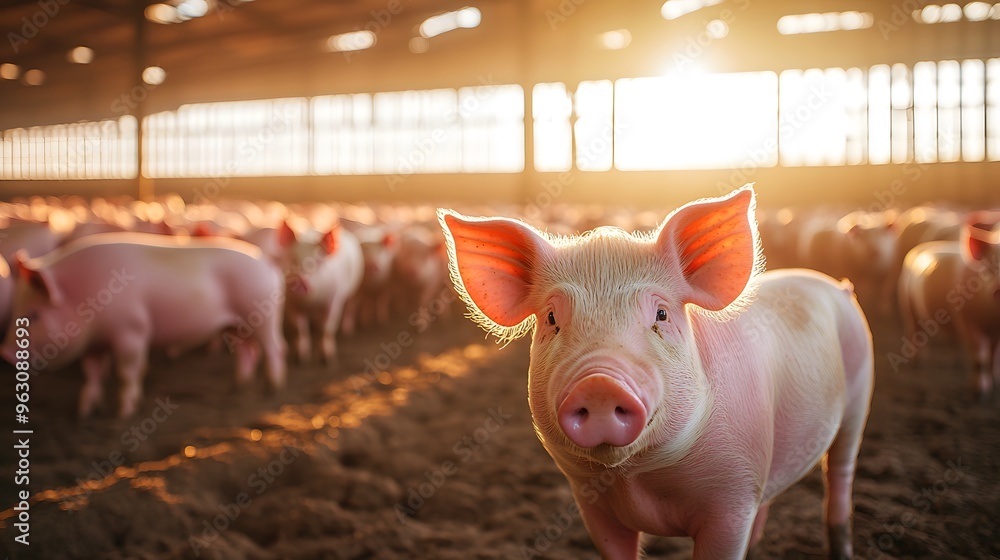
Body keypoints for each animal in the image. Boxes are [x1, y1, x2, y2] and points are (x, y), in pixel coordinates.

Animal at [0, 233, 287, 417]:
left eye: (34, 314)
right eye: (17, 311)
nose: (5, 353)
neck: (84, 297)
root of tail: (267, 262)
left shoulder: (132, 330)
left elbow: (127, 372)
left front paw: (123, 414)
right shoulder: (94, 343)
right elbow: (93, 373)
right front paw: (84, 412)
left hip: (263, 316)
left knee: (275, 348)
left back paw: (271, 389)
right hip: (236, 327)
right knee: (247, 350)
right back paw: (238, 386)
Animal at [277, 221, 363, 363]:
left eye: (316, 262)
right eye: (292, 259)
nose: (300, 279)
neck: (310, 303)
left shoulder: (333, 299)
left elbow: (326, 327)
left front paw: (326, 359)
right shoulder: (290, 303)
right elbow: (299, 328)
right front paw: (299, 359)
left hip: (353, 288)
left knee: (349, 306)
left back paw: (347, 330)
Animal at [439, 186, 874, 559]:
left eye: (661, 314)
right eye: (550, 318)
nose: (599, 383)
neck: (637, 477)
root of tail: (838, 287)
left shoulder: (732, 499)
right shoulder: (593, 507)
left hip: (859, 393)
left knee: (840, 475)